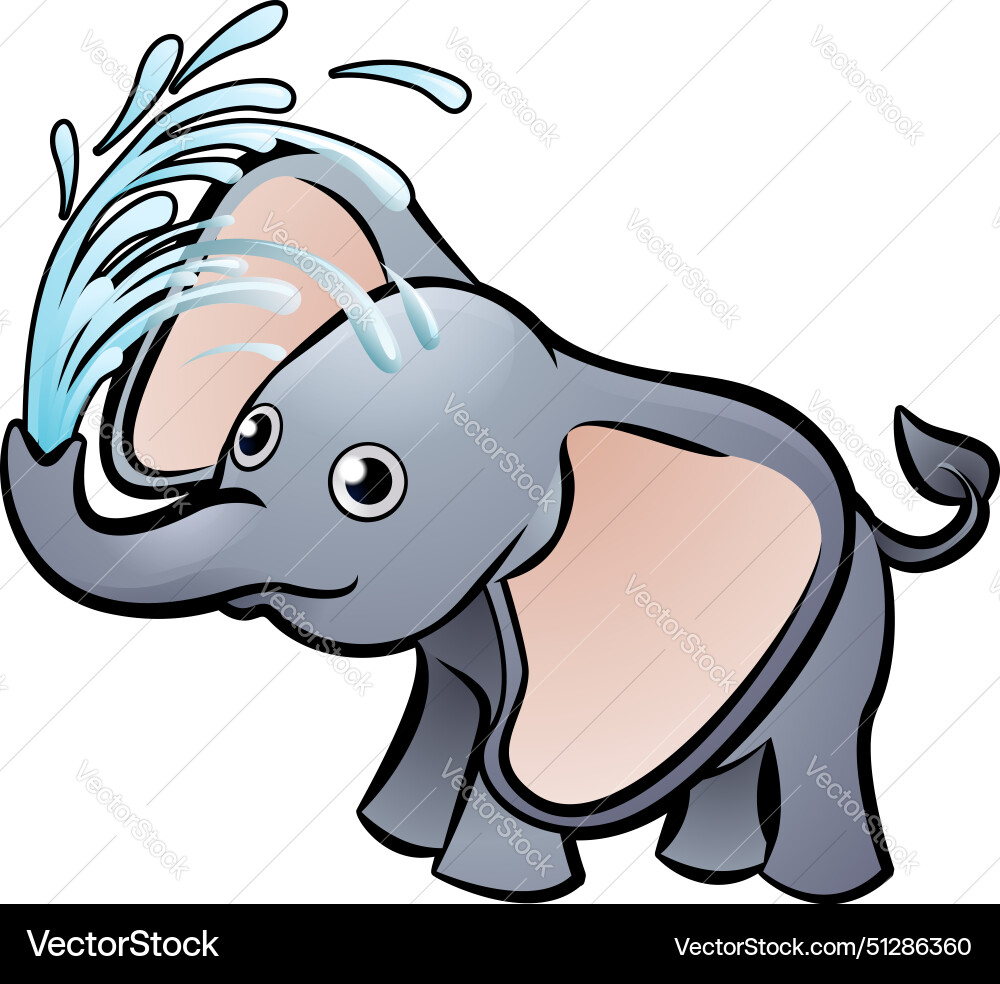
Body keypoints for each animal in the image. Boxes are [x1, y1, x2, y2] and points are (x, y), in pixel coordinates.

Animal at [3, 3, 997, 903]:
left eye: (369, 483)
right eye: (253, 433)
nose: (44, 437)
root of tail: (873, 517)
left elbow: (509, 758)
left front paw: (488, 886)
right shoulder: (463, 638)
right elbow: (447, 705)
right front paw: (391, 841)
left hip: (845, 635)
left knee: (822, 741)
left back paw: (819, 892)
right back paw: (703, 873)